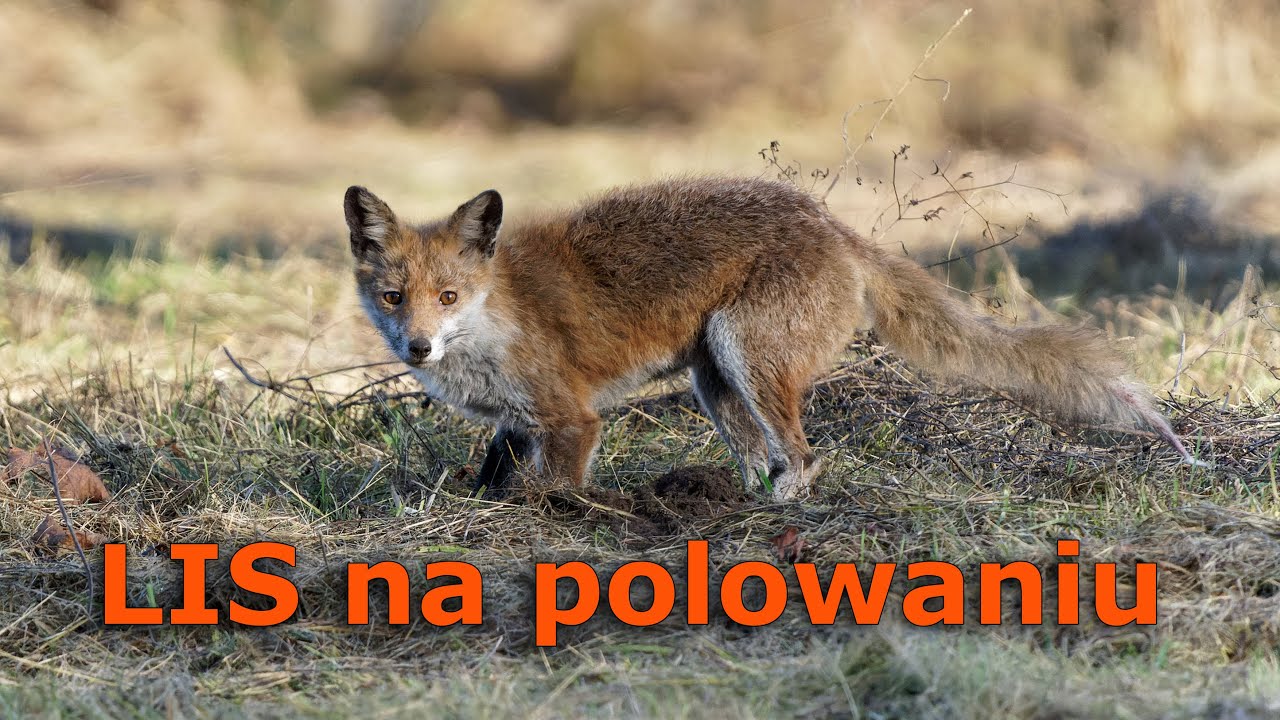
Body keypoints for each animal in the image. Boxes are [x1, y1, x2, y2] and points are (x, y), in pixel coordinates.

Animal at [343, 176, 1201, 501]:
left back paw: (783, 508)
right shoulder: (516, 427)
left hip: (746, 357)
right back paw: (742, 503)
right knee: (763, 458)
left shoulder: (571, 419)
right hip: (715, 382)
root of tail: (835, 227)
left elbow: (552, 487)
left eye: (448, 297)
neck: (496, 315)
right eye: (393, 298)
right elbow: (495, 472)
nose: (417, 349)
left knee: (807, 456)